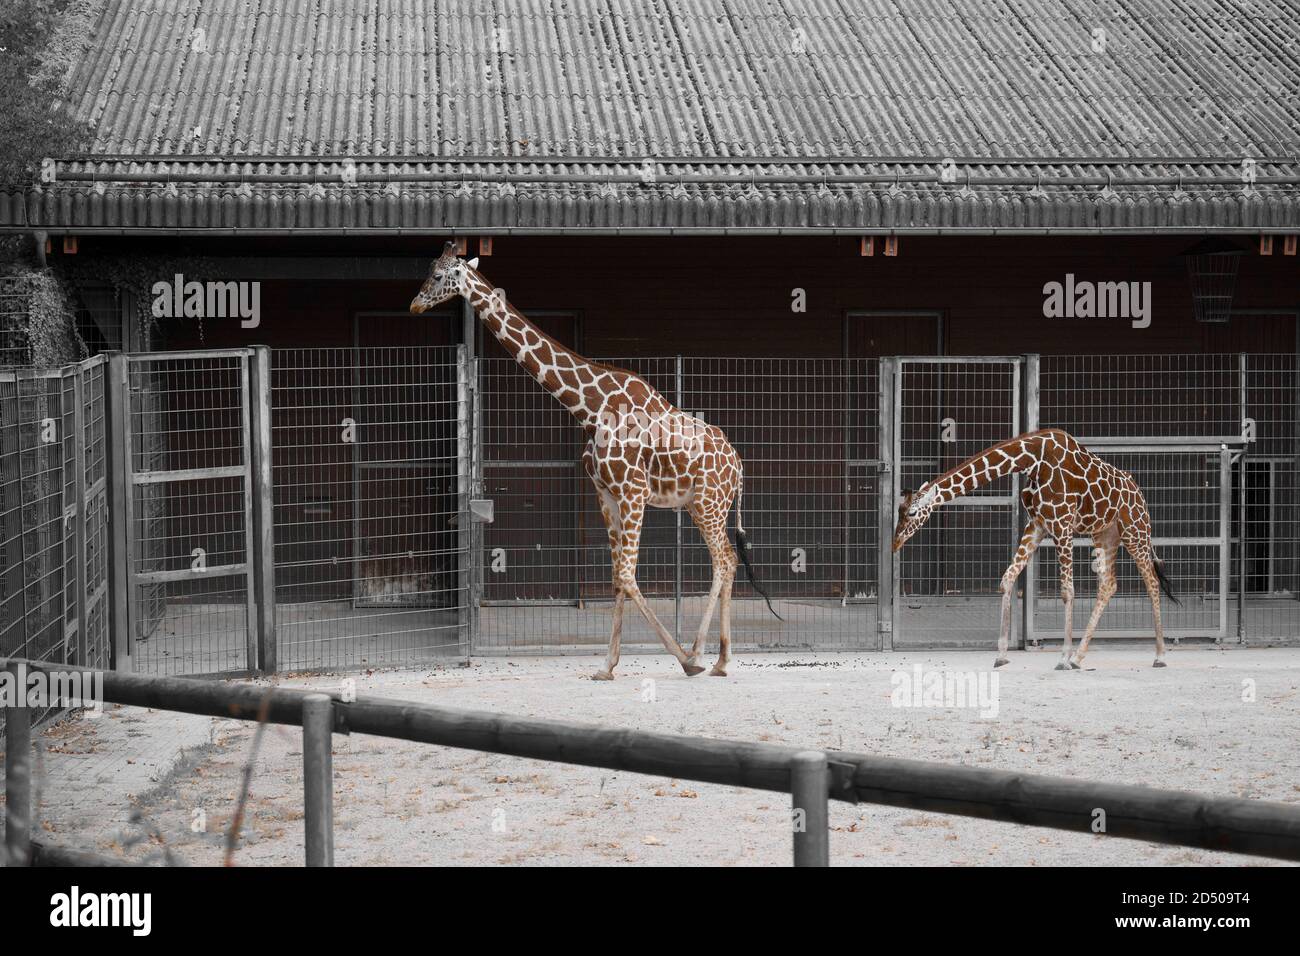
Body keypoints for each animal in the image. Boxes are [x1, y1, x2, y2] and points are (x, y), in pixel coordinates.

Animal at [410, 242, 780, 679]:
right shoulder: (605, 494)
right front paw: (607, 666)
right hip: (699, 505)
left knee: (723, 560)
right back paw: (720, 659)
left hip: (709, 504)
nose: (415, 305)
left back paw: (702, 654)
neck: (590, 409)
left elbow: (628, 574)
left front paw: (682, 661)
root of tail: (738, 464)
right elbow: (617, 577)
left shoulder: (633, 493)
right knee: (728, 558)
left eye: (437, 275)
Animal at [891, 428, 1179, 670]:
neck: (1032, 460)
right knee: (1109, 584)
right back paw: (1079, 657)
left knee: (1152, 582)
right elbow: (1007, 579)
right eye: (899, 511)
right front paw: (1001, 654)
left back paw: (1160, 655)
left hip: (1135, 531)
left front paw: (1062, 657)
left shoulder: (1062, 526)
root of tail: (1139, 492)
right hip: (1105, 534)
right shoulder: (1037, 525)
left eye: (912, 512)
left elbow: (1067, 591)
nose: (895, 543)